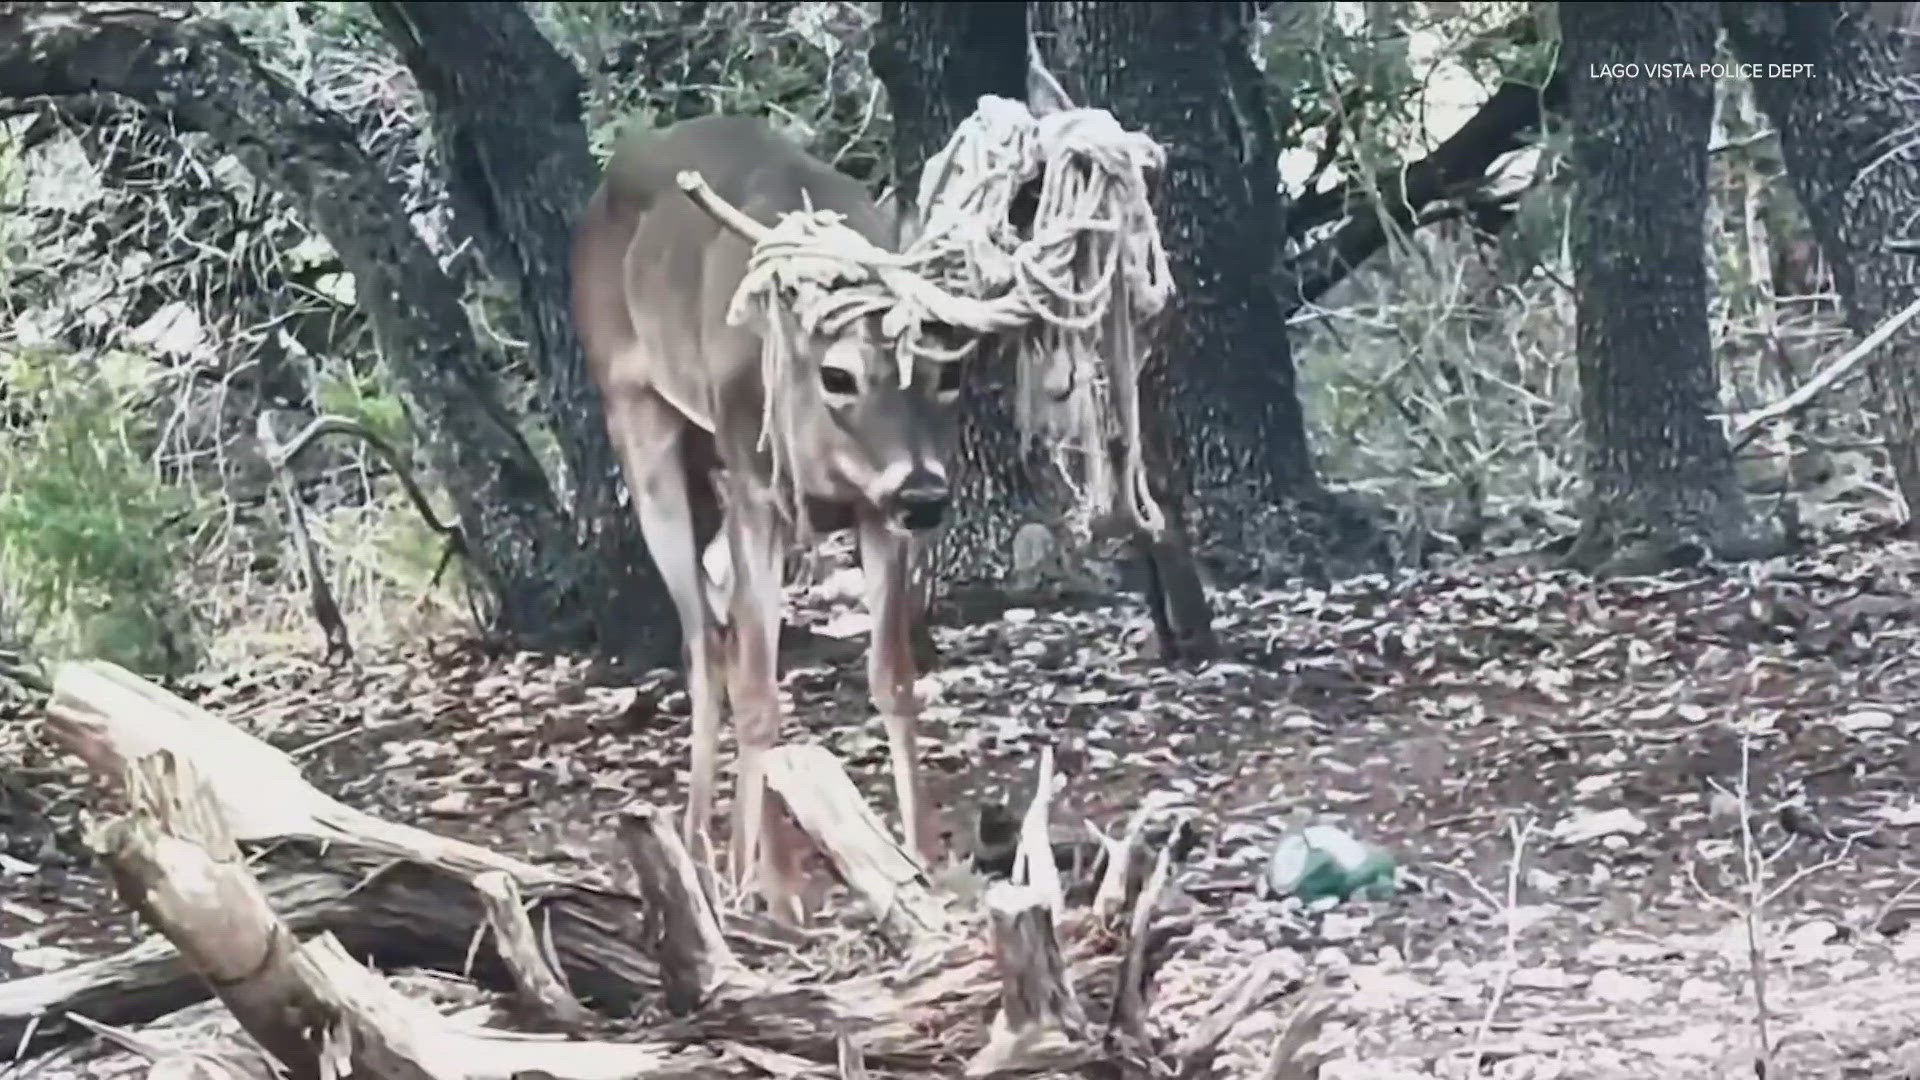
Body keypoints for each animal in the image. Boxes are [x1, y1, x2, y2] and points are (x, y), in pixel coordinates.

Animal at [569, 115, 964, 915]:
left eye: (946, 370)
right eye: (838, 374)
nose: (924, 495)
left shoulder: (871, 513)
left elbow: (893, 676)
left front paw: (923, 858)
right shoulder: (756, 490)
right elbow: (760, 690)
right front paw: (781, 895)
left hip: (708, 465)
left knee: (721, 616)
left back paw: (726, 851)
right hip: (641, 419)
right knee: (704, 639)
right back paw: (702, 848)